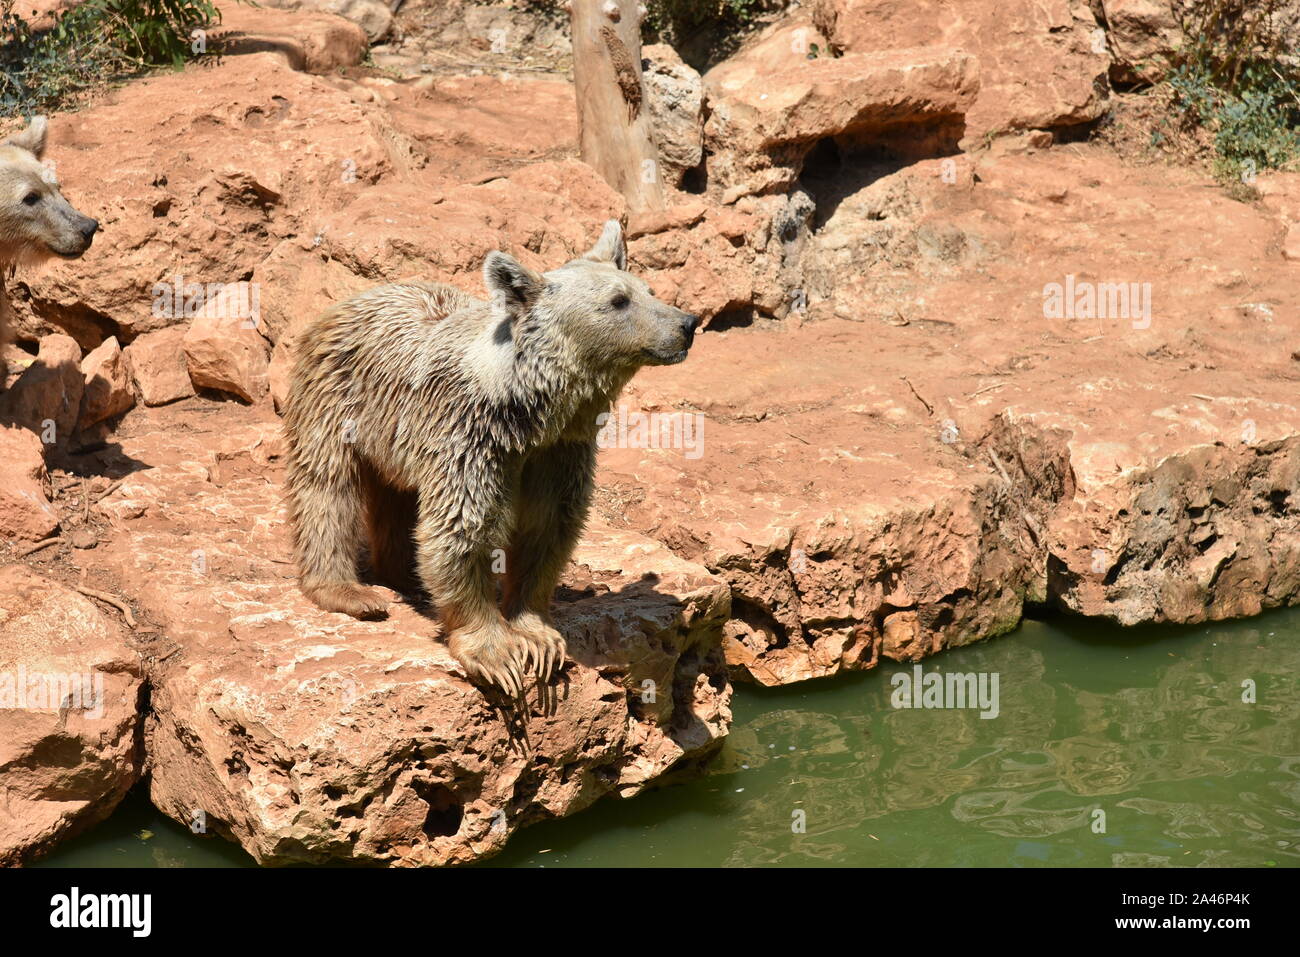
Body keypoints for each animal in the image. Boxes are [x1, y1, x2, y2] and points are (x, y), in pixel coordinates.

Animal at [283, 220, 700, 695]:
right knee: (327, 488)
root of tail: (347, 302)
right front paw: (497, 655)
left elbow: (549, 526)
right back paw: (351, 592)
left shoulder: (558, 452)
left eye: (648, 289)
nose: (688, 323)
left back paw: (404, 574)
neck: (529, 411)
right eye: (618, 301)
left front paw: (538, 636)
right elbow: (462, 528)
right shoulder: (471, 438)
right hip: (338, 398)